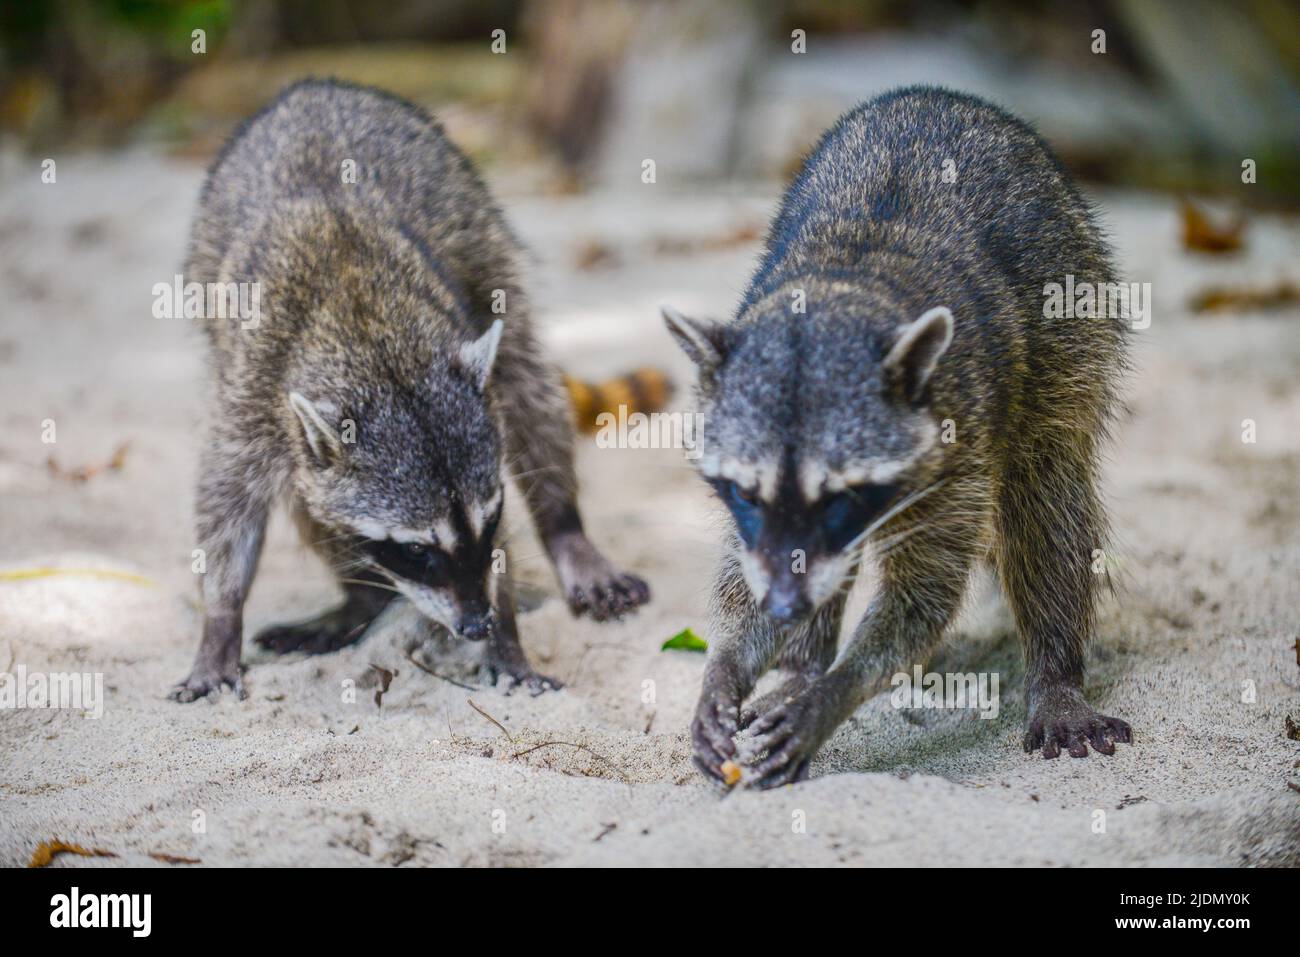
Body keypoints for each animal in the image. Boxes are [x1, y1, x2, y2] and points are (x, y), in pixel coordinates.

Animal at [172, 78, 649, 702]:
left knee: (529, 381)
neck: (376, 346)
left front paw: (507, 632)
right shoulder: (254, 391)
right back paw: (360, 598)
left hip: (481, 232)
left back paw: (564, 528)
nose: (477, 625)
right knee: (305, 495)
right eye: (415, 550)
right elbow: (226, 502)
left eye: (488, 522)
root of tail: (314, 85)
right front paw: (221, 618)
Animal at [664, 87, 1132, 787]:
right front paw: (730, 665)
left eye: (839, 497)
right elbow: (744, 573)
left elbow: (923, 597)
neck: (851, 276)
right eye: (747, 493)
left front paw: (833, 692)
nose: (785, 609)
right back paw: (802, 664)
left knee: (1045, 499)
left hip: (1074, 314)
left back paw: (1056, 674)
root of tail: (939, 95)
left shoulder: (960, 432)